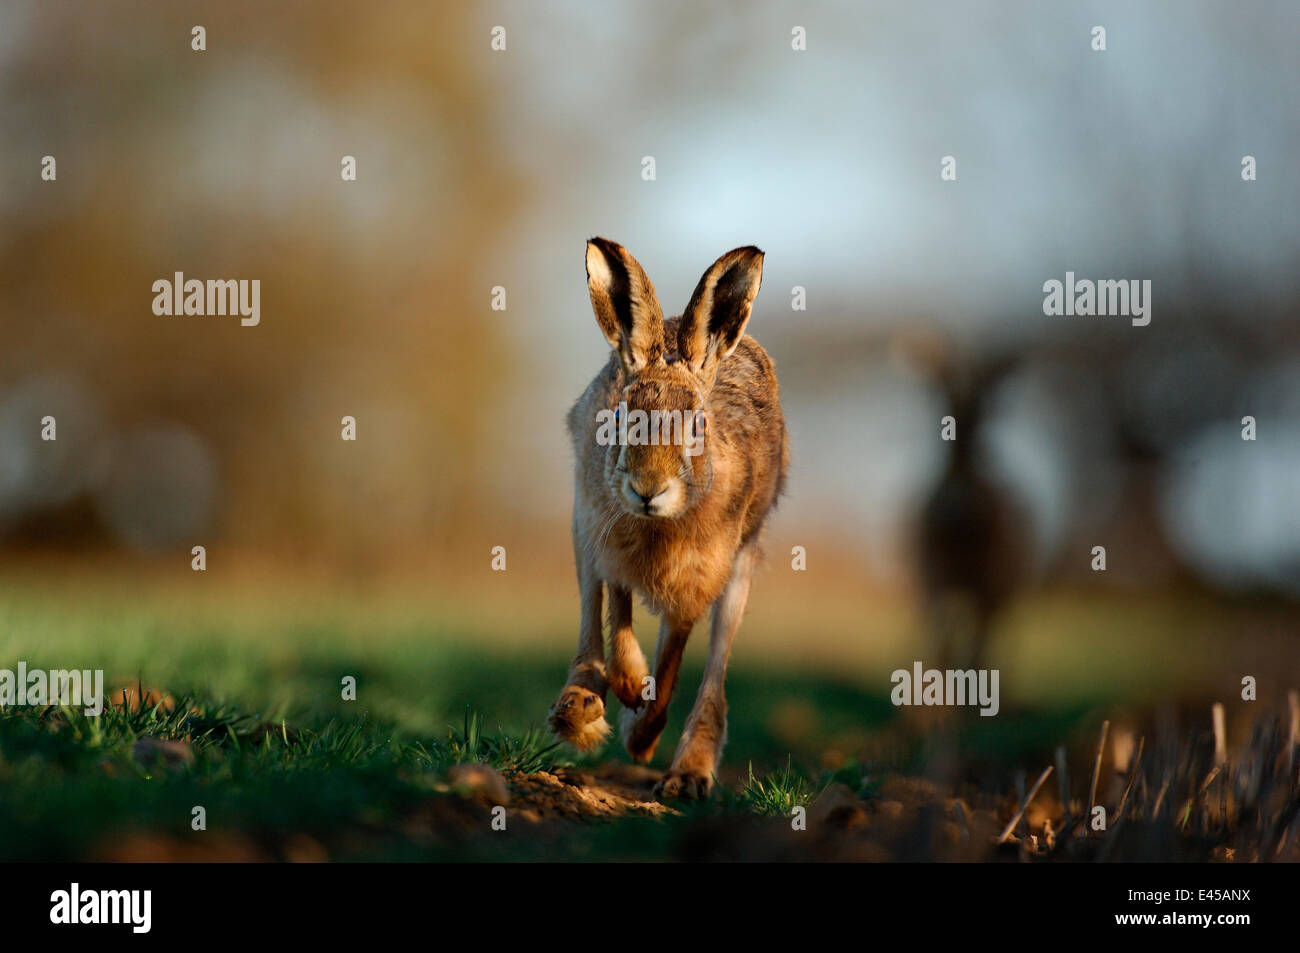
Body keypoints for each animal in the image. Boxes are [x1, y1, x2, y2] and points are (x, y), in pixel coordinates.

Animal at [547, 238, 788, 800]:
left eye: (698, 424)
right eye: (619, 418)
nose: (647, 489)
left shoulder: (698, 578)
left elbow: (675, 658)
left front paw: (641, 737)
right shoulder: (605, 536)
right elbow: (617, 613)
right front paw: (629, 688)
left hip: (741, 562)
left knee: (713, 667)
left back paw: (686, 774)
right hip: (582, 524)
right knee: (592, 622)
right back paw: (579, 708)